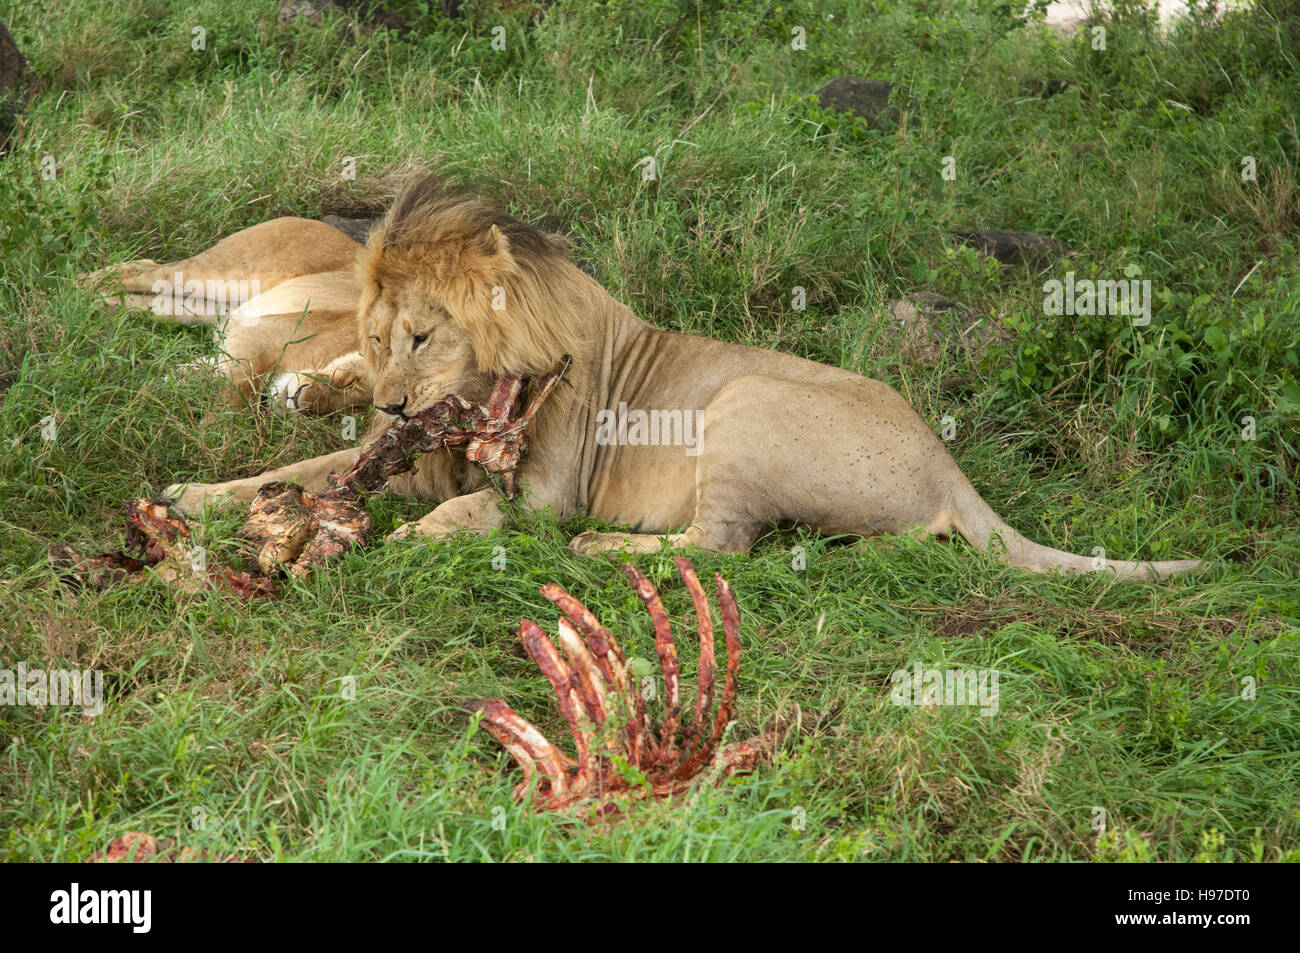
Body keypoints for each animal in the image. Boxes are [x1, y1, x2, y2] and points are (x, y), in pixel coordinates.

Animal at [81, 217, 374, 413]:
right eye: (349, 383)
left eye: (344, 413)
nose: (299, 403)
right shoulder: (258, 335)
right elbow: (239, 398)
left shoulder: (236, 339)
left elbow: (202, 370)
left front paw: (163, 383)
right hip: (225, 273)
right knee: (141, 269)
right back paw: (79, 290)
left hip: (203, 308)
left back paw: (102, 306)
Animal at [164, 176, 1204, 580]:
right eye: (375, 340)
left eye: (424, 337)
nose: (385, 402)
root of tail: (952, 468)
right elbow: (279, 477)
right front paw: (189, 497)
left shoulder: (546, 498)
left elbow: (481, 510)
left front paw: (423, 534)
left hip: (745, 400)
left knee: (722, 546)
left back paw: (603, 551)